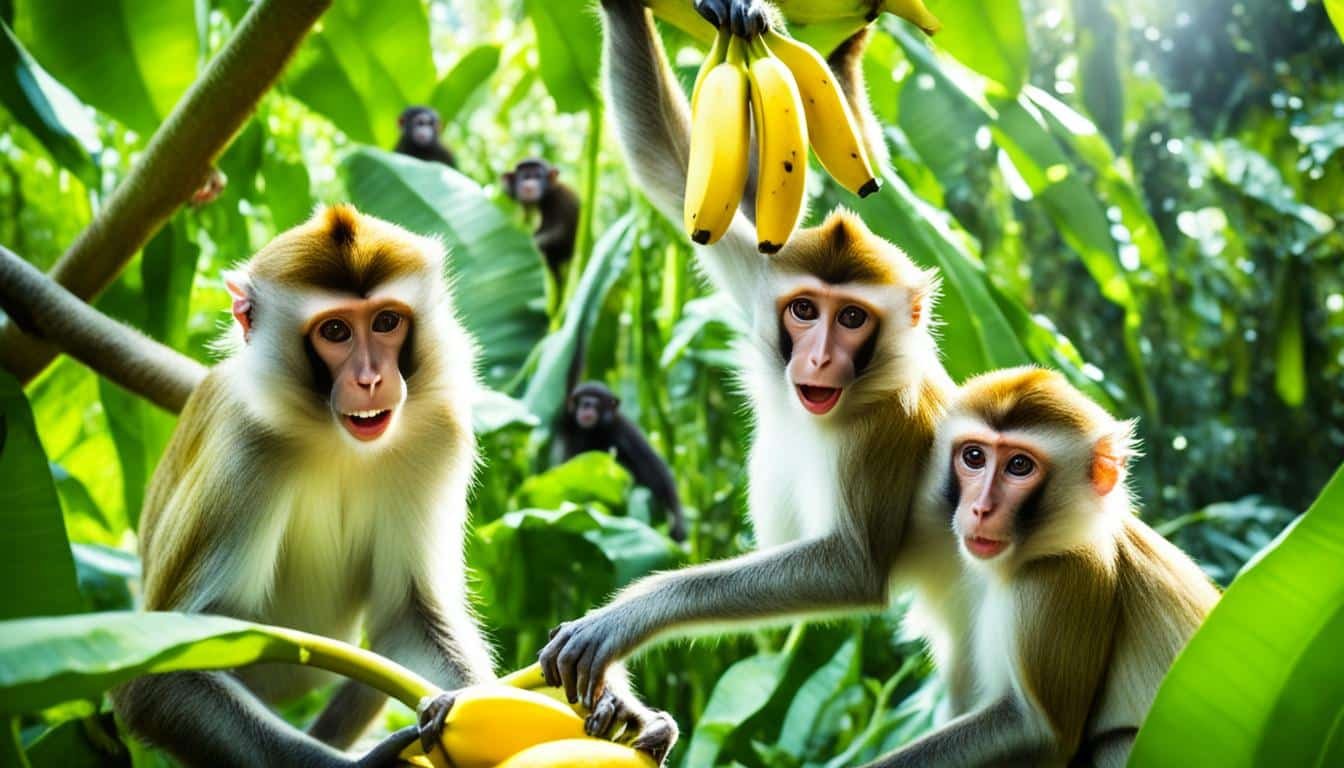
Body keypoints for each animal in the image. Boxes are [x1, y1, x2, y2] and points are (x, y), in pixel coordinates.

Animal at [502, 158, 581, 292]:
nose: (529, 185)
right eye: (524, 177)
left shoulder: (561, 198)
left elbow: (559, 231)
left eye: (537, 177)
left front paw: (533, 243)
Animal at [560, 381, 687, 542]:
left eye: (595, 402)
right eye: (582, 401)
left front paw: (677, 524)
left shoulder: (626, 431)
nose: (586, 405)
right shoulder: (574, 436)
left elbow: (656, 472)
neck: (597, 431)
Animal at [867, 367, 1220, 768]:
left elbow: (1039, 733)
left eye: (1020, 466)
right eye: (974, 456)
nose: (980, 509)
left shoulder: (1062, 578)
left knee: (1113, 743)